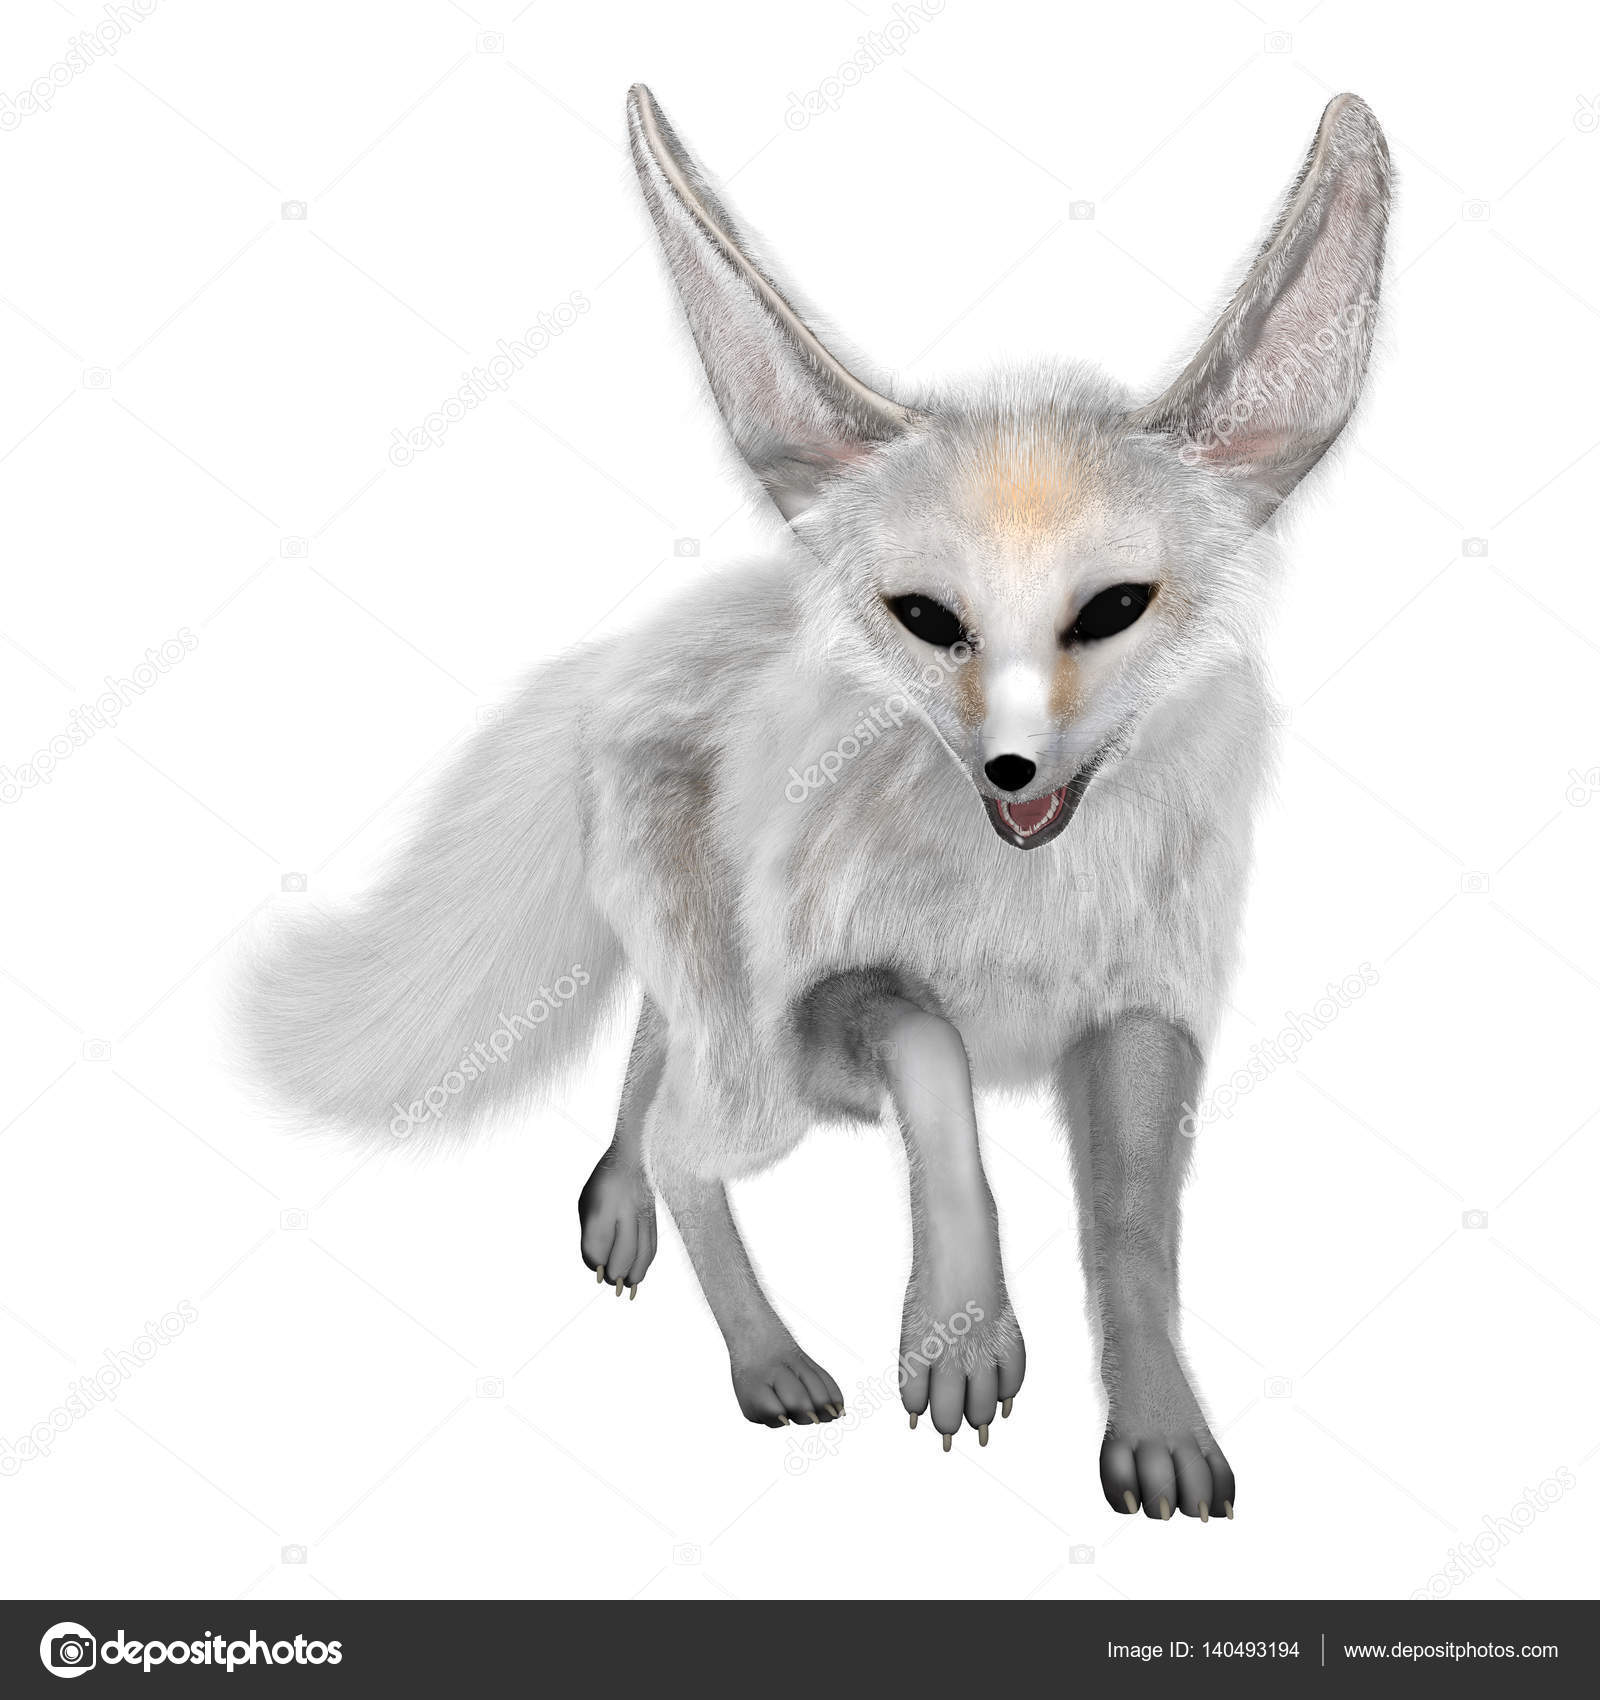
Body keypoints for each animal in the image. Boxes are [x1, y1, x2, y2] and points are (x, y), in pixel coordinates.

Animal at [238, 84, 1390, 1521]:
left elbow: (1134, 1236)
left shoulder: (1140, 1013)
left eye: (1115, 607)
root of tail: (636, 652)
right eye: (929, 620)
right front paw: (958, 1329)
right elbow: (937, 1059)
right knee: (692, 1138)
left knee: (657, 1061)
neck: (1016, 918)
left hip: (726, 991)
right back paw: (761, 1357)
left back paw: (615, 1199)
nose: (1011, 770)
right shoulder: (829, 1005)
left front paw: (1158, 1422)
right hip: (758, 1053)